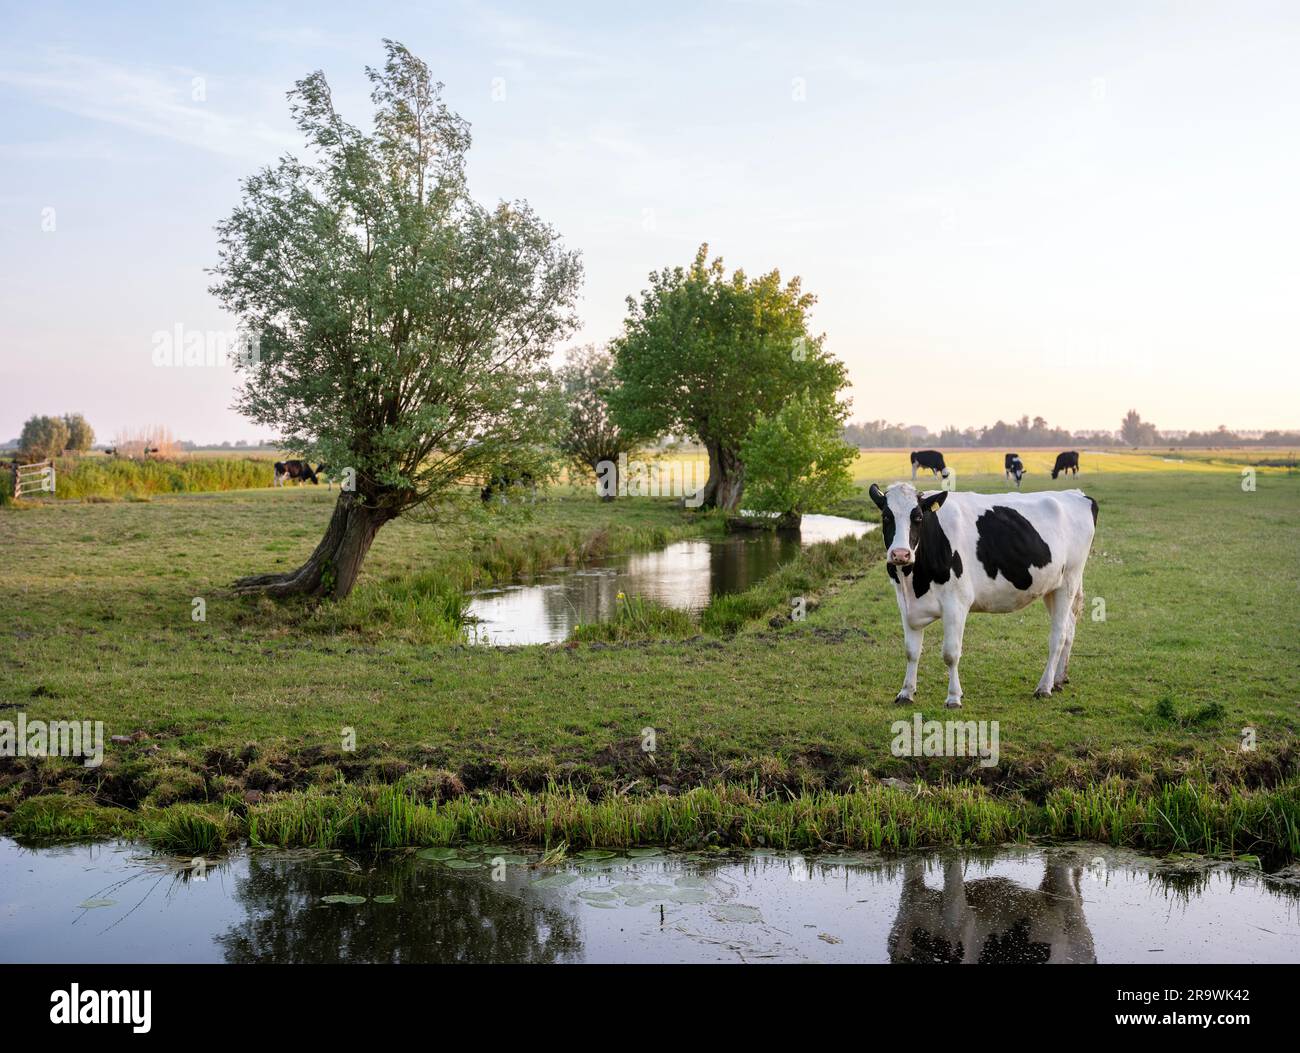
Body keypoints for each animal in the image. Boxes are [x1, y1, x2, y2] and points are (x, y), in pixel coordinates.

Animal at [868, 481, 1097, 706]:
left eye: (917, 517)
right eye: (886, 517)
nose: (900, 554)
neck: (915, 582)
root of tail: (1076, 494)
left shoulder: (956, 603)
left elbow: (950, 653)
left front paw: (954, 697)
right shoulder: (906, 605)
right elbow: (911, 651)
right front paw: (906, 692)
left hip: (1068, 581)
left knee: (1058, 635)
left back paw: (1045, 687)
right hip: (1052, 587)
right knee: (1069, 628)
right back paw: (1059, 679)